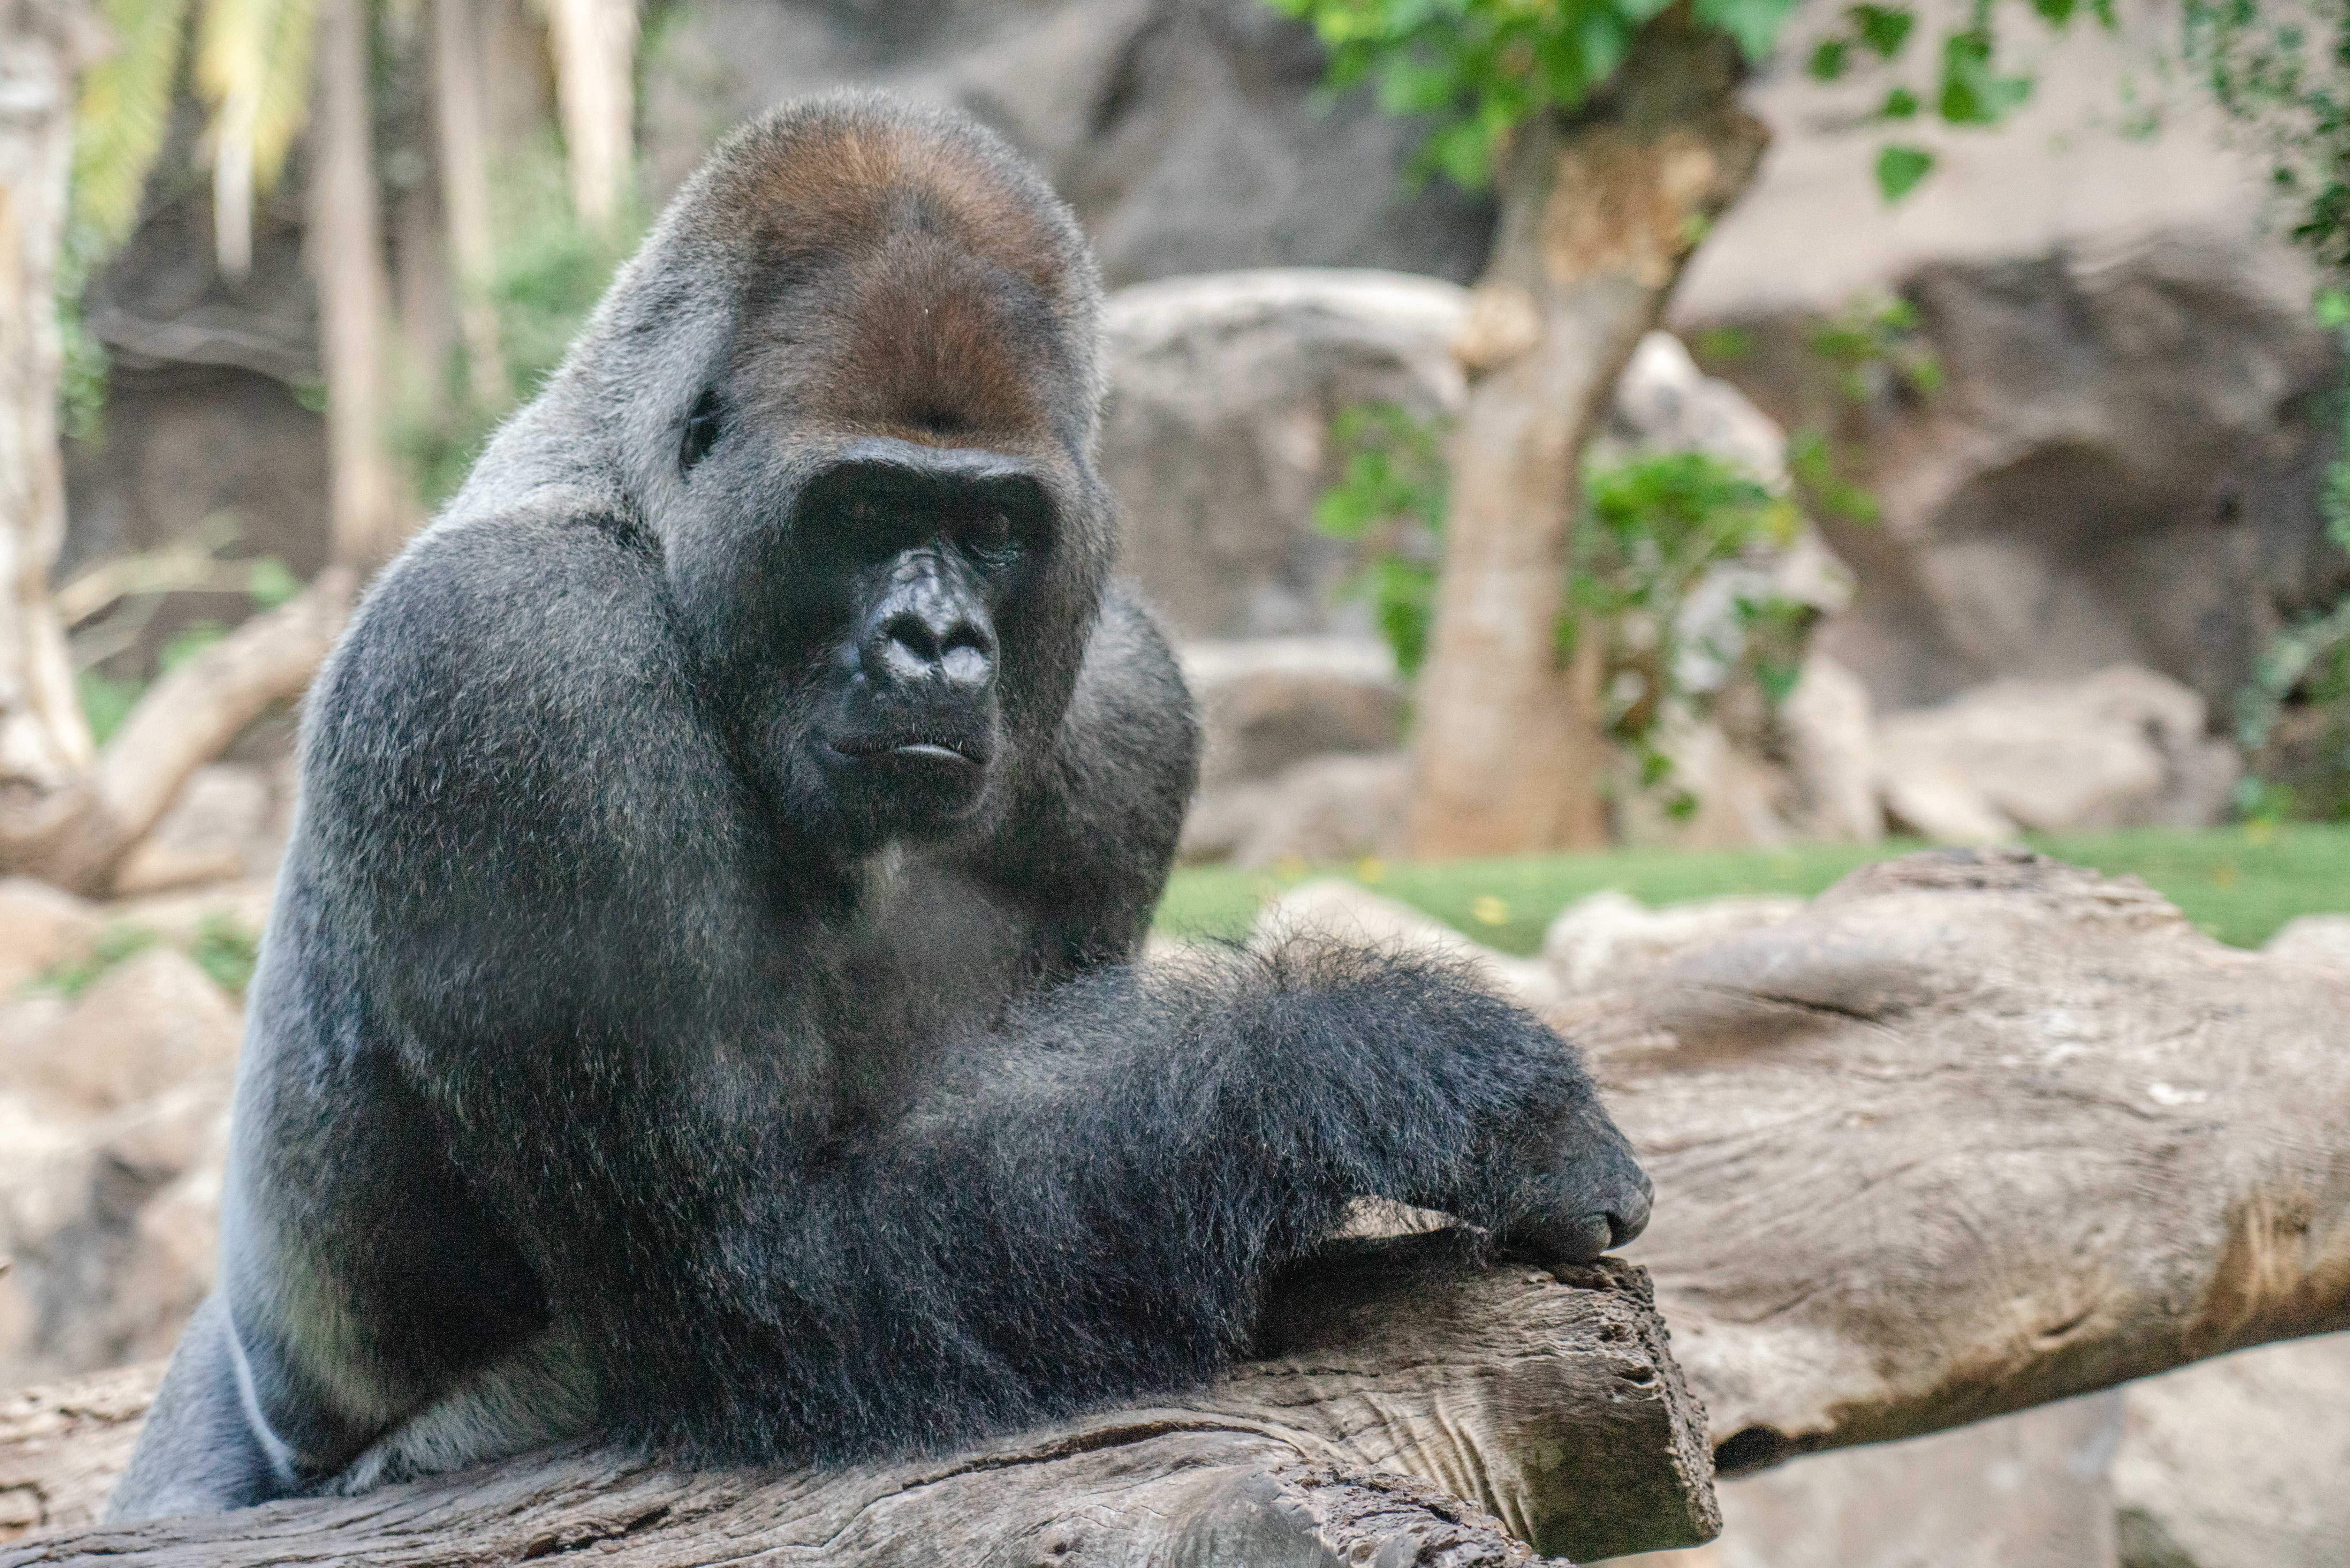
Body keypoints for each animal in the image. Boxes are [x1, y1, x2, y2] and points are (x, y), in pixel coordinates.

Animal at [107, 92, 1652, 1520]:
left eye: (995, 527)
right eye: (860, 511)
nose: (935, 643)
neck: (651, 513)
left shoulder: (1129, 708)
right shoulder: (514, 673)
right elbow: (746, 1262)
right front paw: (1395, 1066)